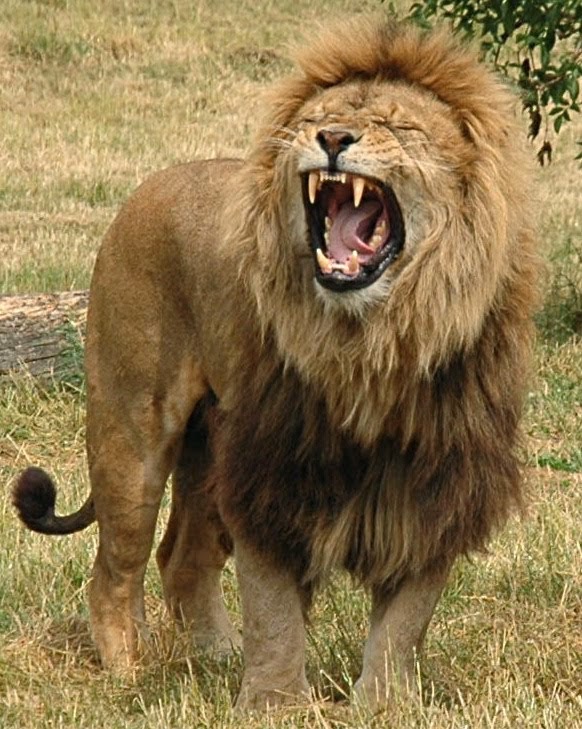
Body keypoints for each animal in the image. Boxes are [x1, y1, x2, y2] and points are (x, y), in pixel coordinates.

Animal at [13, 16, 539, 711]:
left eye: (397, 125)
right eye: (320, 117)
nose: (334, 139)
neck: (372, 344)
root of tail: (153, 183)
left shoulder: (436, 478)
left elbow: (405, 619)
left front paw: (384, 705)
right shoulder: (270, 467)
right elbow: (273, 611)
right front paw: (274, 704)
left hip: (209, 445)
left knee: (182, 558)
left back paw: (214, 656)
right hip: (132, 430)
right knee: (115, 568)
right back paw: (132, 673)